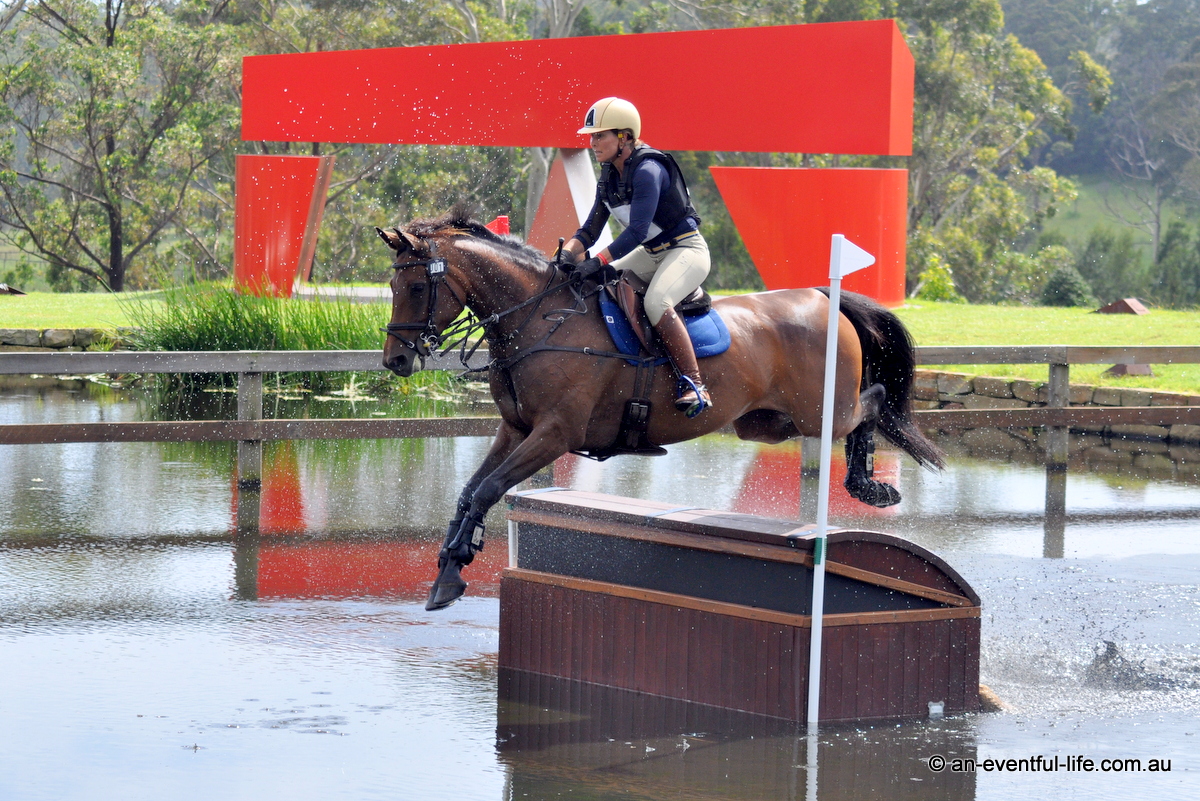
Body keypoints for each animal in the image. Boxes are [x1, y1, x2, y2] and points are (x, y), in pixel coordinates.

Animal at [378, 207, 944, 610]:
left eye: (415, 286)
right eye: (391, 285)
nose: (395, 360)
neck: (539, 318)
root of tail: (823, 297)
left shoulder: (554, 434)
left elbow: (488, 490)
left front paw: (453, 567)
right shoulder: (515, 430)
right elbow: (471, 491)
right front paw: (449, 567)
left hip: (820, 410)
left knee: (871, 404)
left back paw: (869, 486)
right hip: (766, 424)